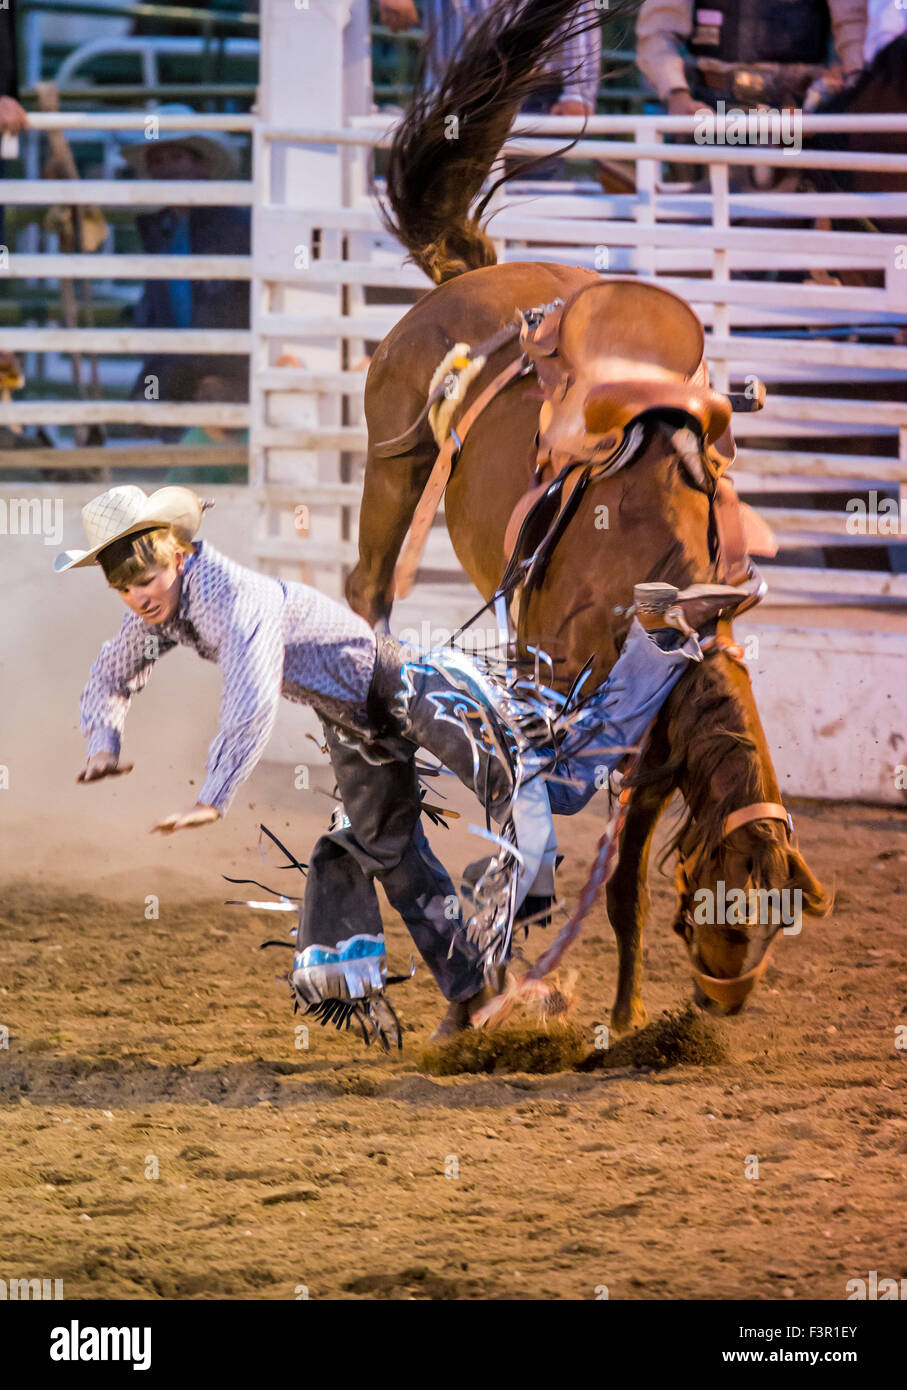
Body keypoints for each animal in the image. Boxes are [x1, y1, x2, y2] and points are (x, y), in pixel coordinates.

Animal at [345, 0, 830, 1031]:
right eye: (727, 899)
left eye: (777, 921)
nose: (725, 1004)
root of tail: (474, 274)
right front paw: (483, 996)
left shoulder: (646, 770)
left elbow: (621, 889)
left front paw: (622, 1018)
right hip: (395, 459)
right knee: (368, 584)